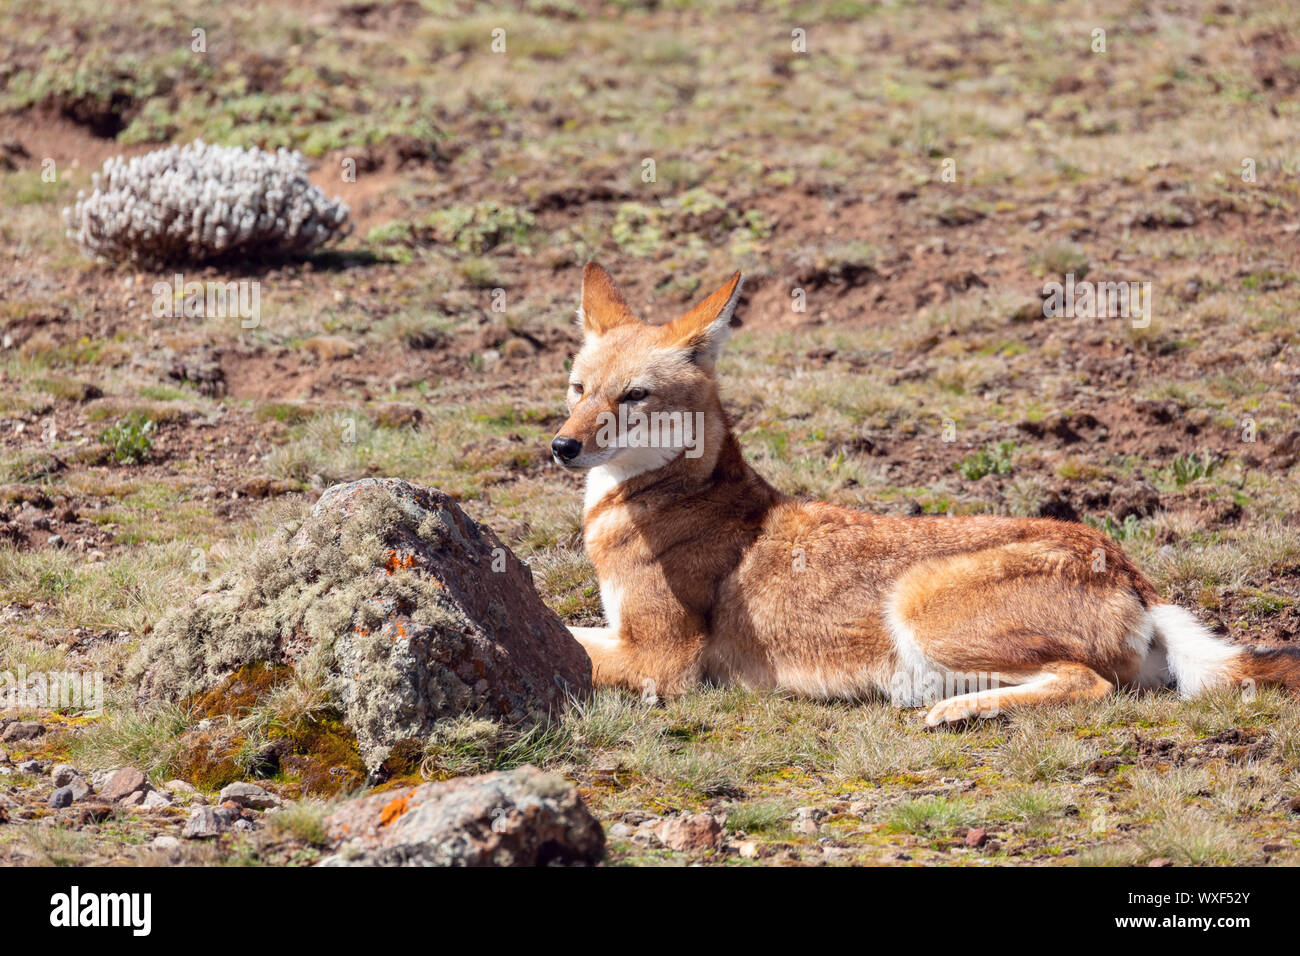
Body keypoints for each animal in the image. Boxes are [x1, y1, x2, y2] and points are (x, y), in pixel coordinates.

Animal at [550, 262, 1300, 725]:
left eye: (634, 396)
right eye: (578, 390)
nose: (562, 447)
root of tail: (1127, 569)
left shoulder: (658, 662)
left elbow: (574, 646)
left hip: (917, 607)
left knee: (1090, 685)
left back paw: (957, 714)